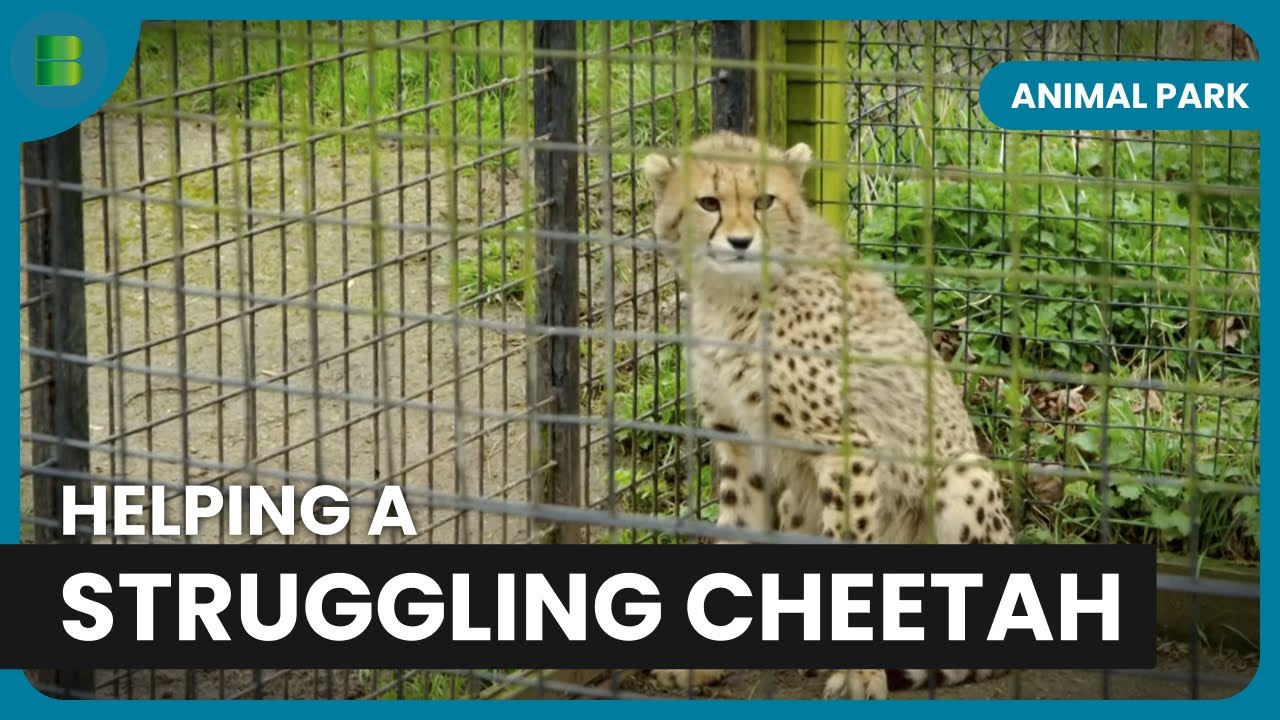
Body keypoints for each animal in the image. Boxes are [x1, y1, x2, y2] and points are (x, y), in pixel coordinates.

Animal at [638, 131, 1014, 699]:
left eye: (765, 201)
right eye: (709, 203)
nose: (742, 243)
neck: (733, 300)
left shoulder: (847, 444)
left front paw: (862, 677)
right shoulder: (738, 438)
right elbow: (735, 529)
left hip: (960, 475)